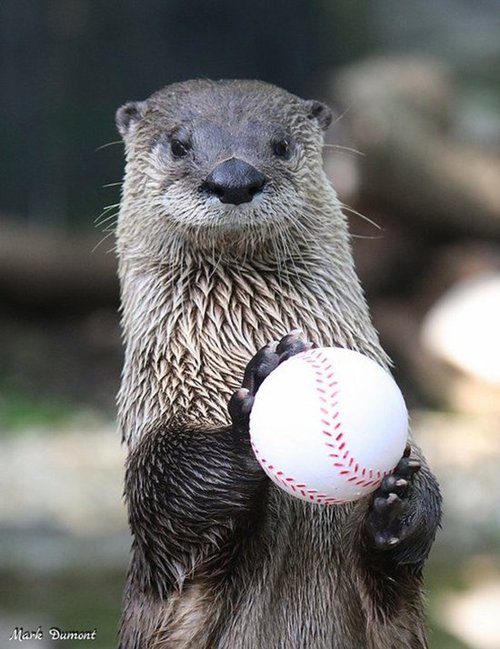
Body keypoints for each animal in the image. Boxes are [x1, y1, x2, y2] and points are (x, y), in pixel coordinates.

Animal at [115, 79, 441, 649]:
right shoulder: (158, 419)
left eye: (280, 145)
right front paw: (250, 421)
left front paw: (399, 507)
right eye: (179, 144)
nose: (234, 178)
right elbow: (166, 488)